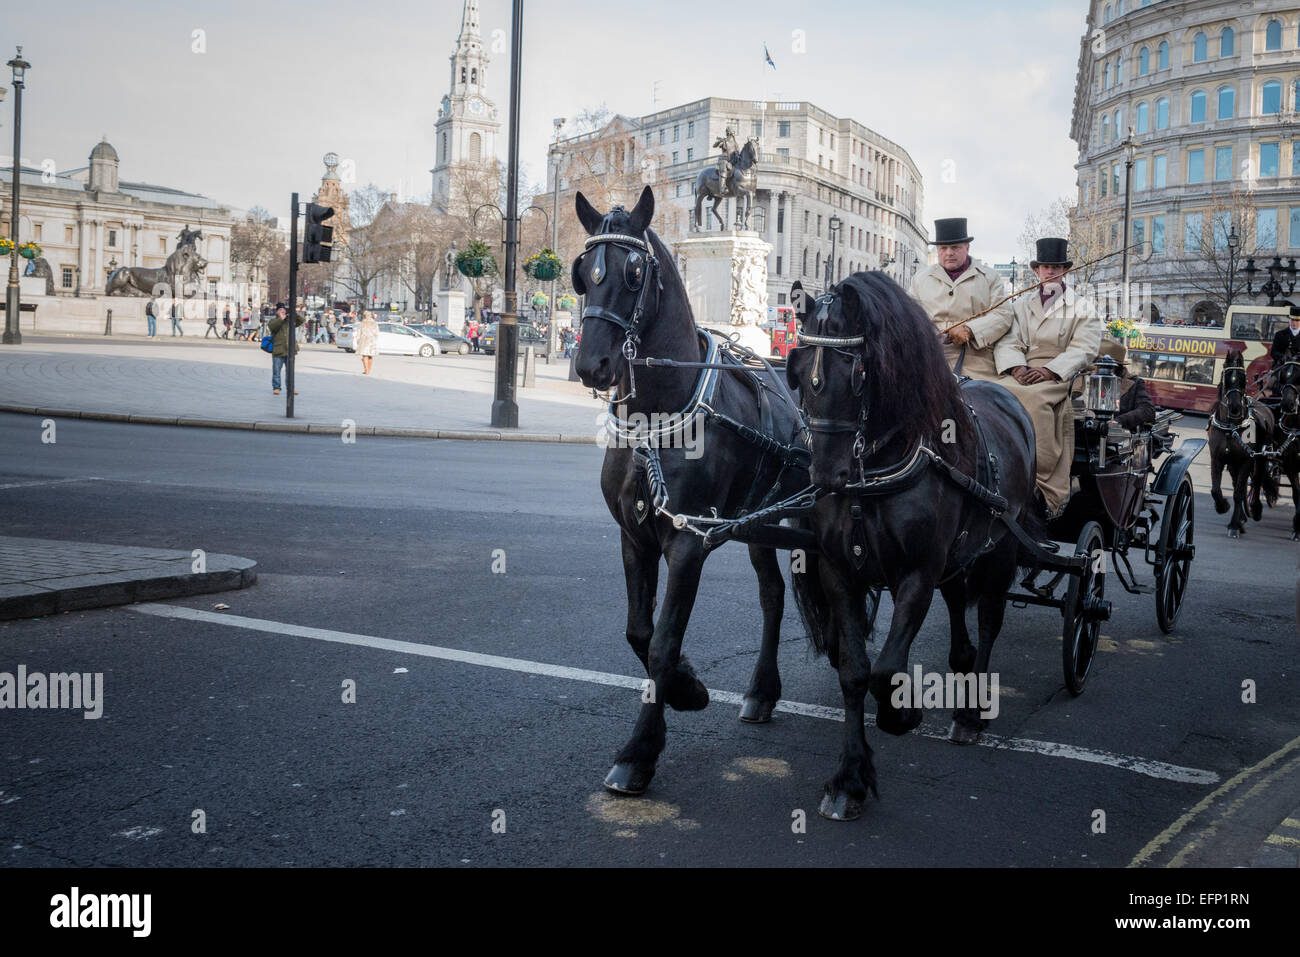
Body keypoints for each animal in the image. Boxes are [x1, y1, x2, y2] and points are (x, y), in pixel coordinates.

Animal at [572, 185, 814, 796]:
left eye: (635, 273)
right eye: (582, 274)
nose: (591, 364)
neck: (661, 417)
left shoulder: (688, 542)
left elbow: (662, 641)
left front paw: (639, 752)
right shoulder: (635, 537)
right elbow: (640, 632)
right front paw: (688, 687)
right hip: (759, 522)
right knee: (773, 597)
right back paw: (761, 691)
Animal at [783, 273, 1039, 821]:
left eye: (859, 372)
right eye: (797, 368)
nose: (826, 476)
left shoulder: (917, 574)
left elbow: (885, 670)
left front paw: (902, 713)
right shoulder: (839, 572)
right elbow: (855, 673)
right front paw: (850, 778)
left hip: (1000, 552)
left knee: (989, 622)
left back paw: (971, 712)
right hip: (959, 557)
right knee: (961, 616)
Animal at [1208, 351, 1274, 538]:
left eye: (1243, 379)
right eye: (1227, 377)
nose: (1235, 408)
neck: (1231, 428)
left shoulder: (1247, 460)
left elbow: (1238, 492)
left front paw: (1234, 525)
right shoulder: (1217, 459)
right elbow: (1215, 489)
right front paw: (1222, 506)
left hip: (1259, 458)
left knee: (1255, 481)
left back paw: (1254, 510)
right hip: (1233, 463)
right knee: (1239, 483)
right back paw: (1243, 518)